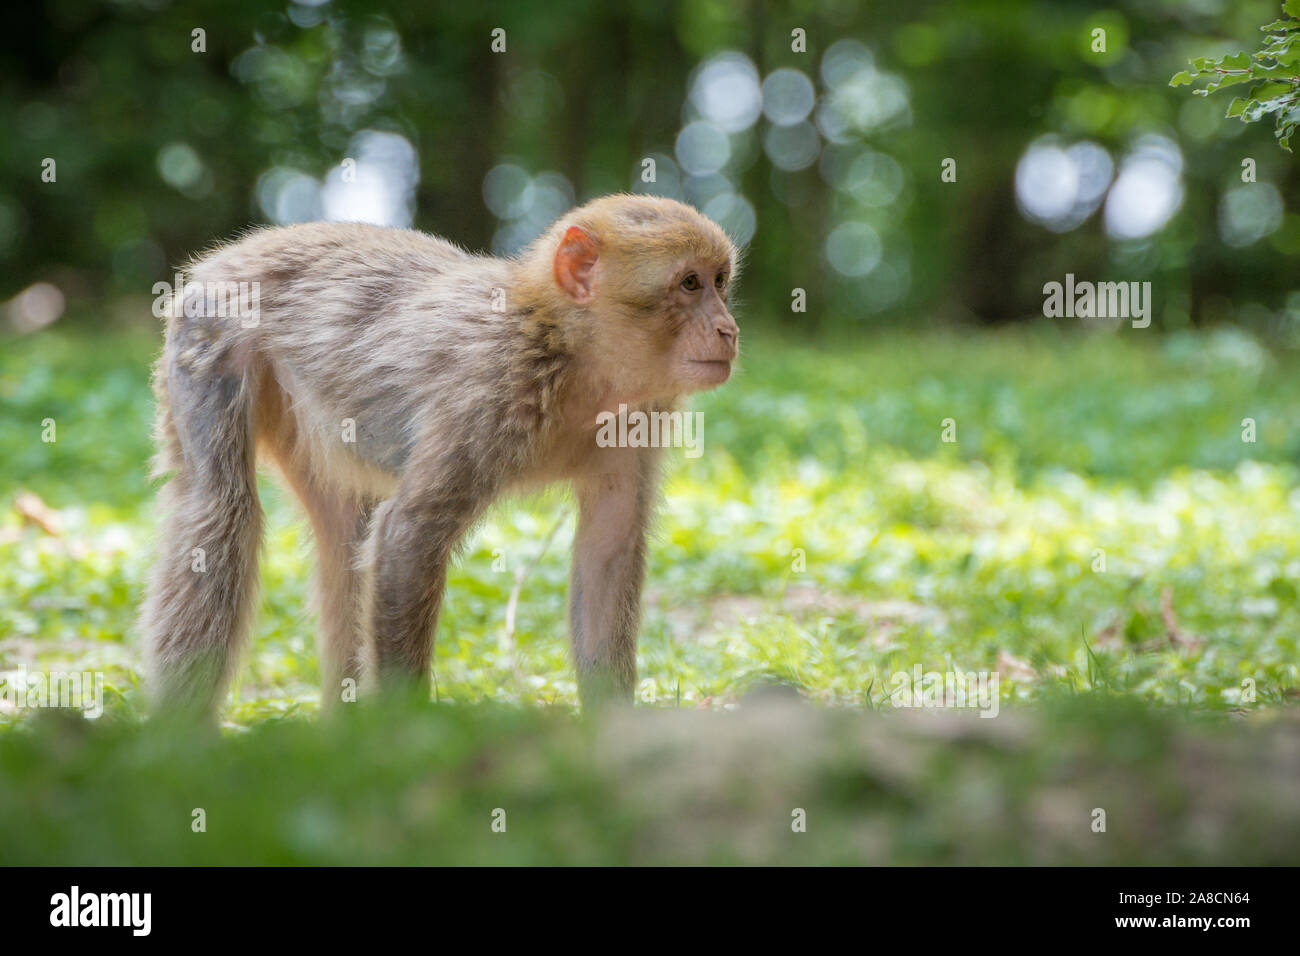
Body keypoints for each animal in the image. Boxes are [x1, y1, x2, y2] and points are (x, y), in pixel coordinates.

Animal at [139, 194, 740, 720]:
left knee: (343, 536)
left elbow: (609, 548)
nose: (729, 330)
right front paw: (409, 734)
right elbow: (409, 535)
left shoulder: (641, 415)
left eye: (720, 283)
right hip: (210, 337)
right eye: (689, 284)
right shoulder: (491, 388)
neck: (572, 351)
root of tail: (229, 254)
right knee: (221, 510)